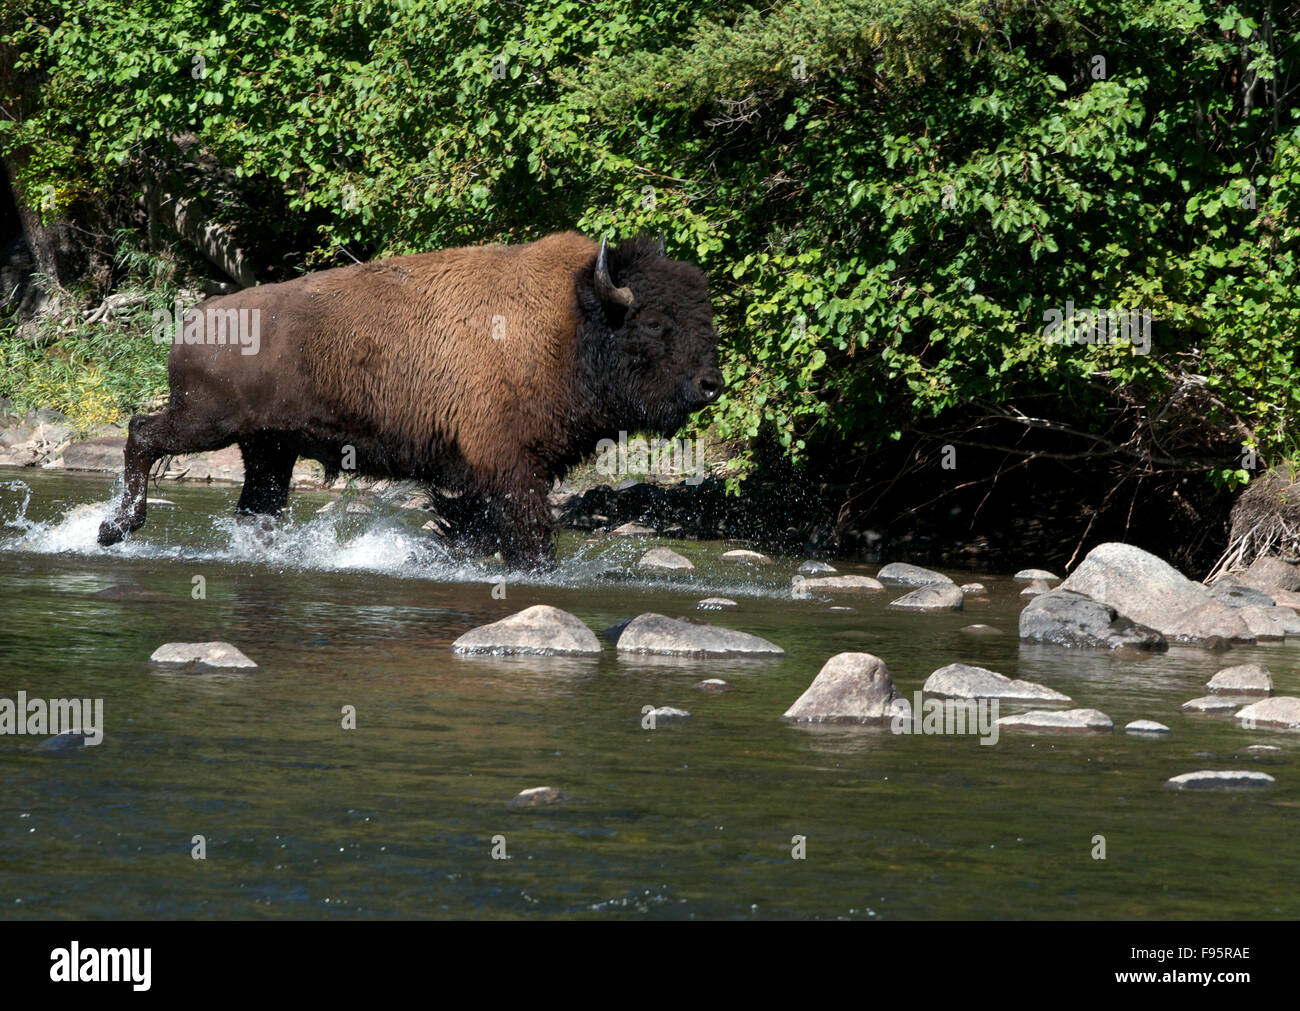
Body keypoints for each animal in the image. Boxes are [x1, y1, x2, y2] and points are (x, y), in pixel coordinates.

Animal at [97, 231, 723, 566]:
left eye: (706, 315)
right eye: (654, 323)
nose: (710, 385)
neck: (570, 322)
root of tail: (192, 321)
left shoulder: (498, 472)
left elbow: (474, 526)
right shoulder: (509, 466)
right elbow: (528, 535)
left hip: (268, 448)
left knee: (256, 506)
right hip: (206, 423)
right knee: (142, 434)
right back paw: (115, 529)